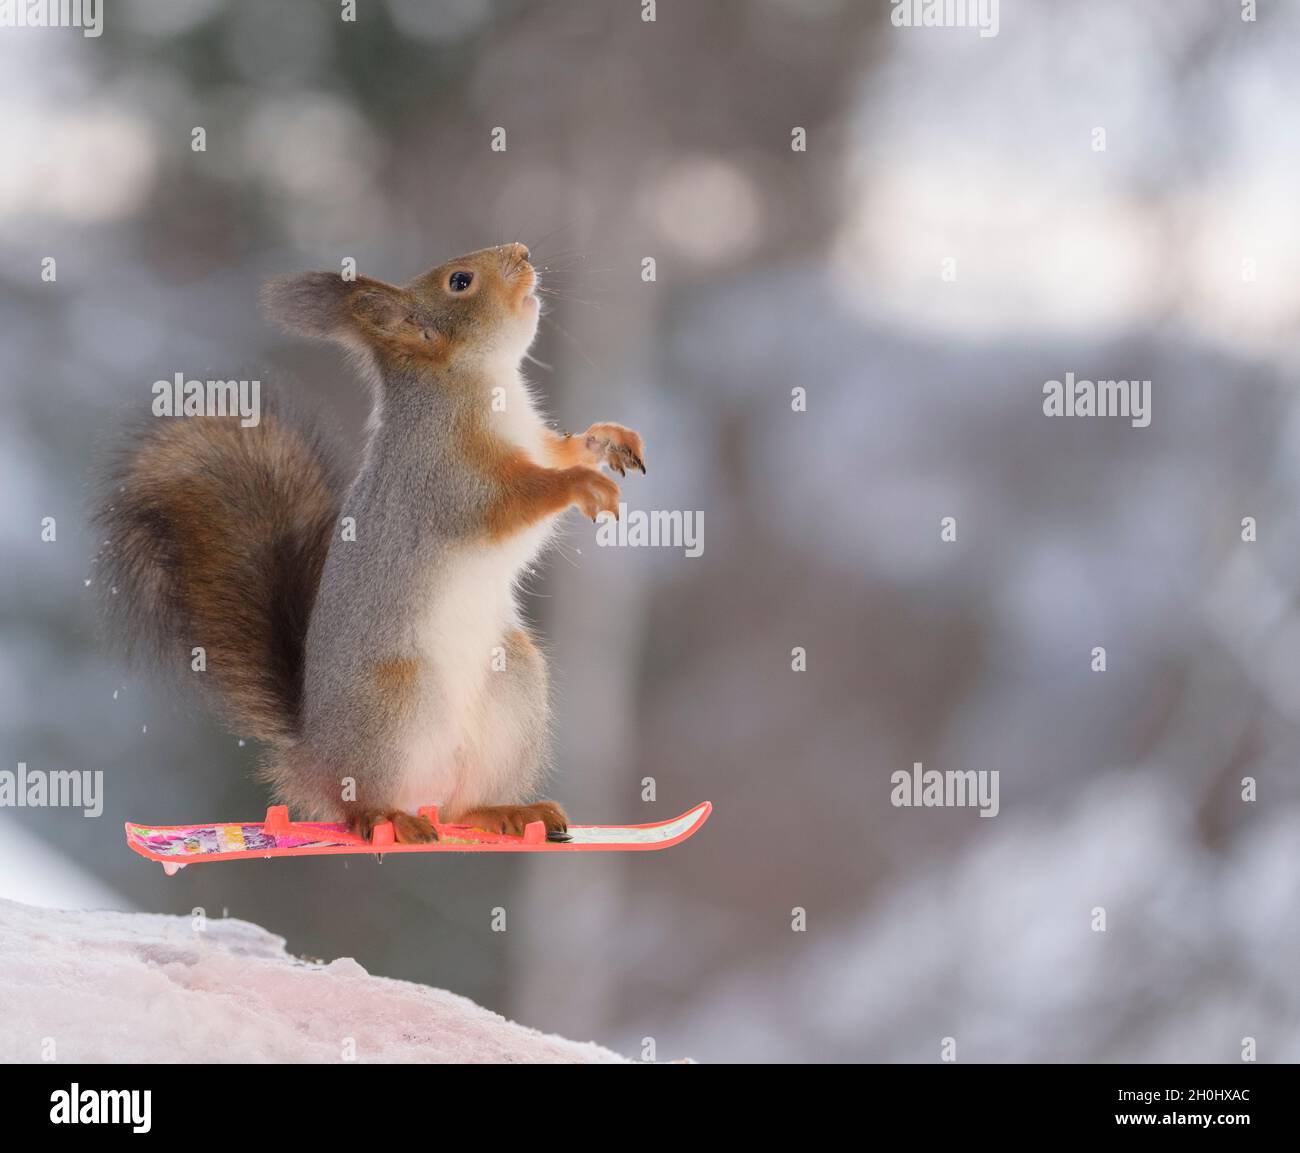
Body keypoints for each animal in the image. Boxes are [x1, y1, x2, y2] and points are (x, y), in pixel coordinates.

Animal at [94, 243, 646, 843]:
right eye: (460, 281)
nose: (523, 252)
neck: (482, 383)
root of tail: (313, 758)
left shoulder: (535, 443)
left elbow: (563, 450)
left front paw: (609, 440)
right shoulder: (445, 476)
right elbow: (505, 504)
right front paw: (583, 484)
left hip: (512, 685)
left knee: (460, 808)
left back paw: (507, 811)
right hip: (395, 702)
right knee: (363, 805)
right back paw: (388, 818)